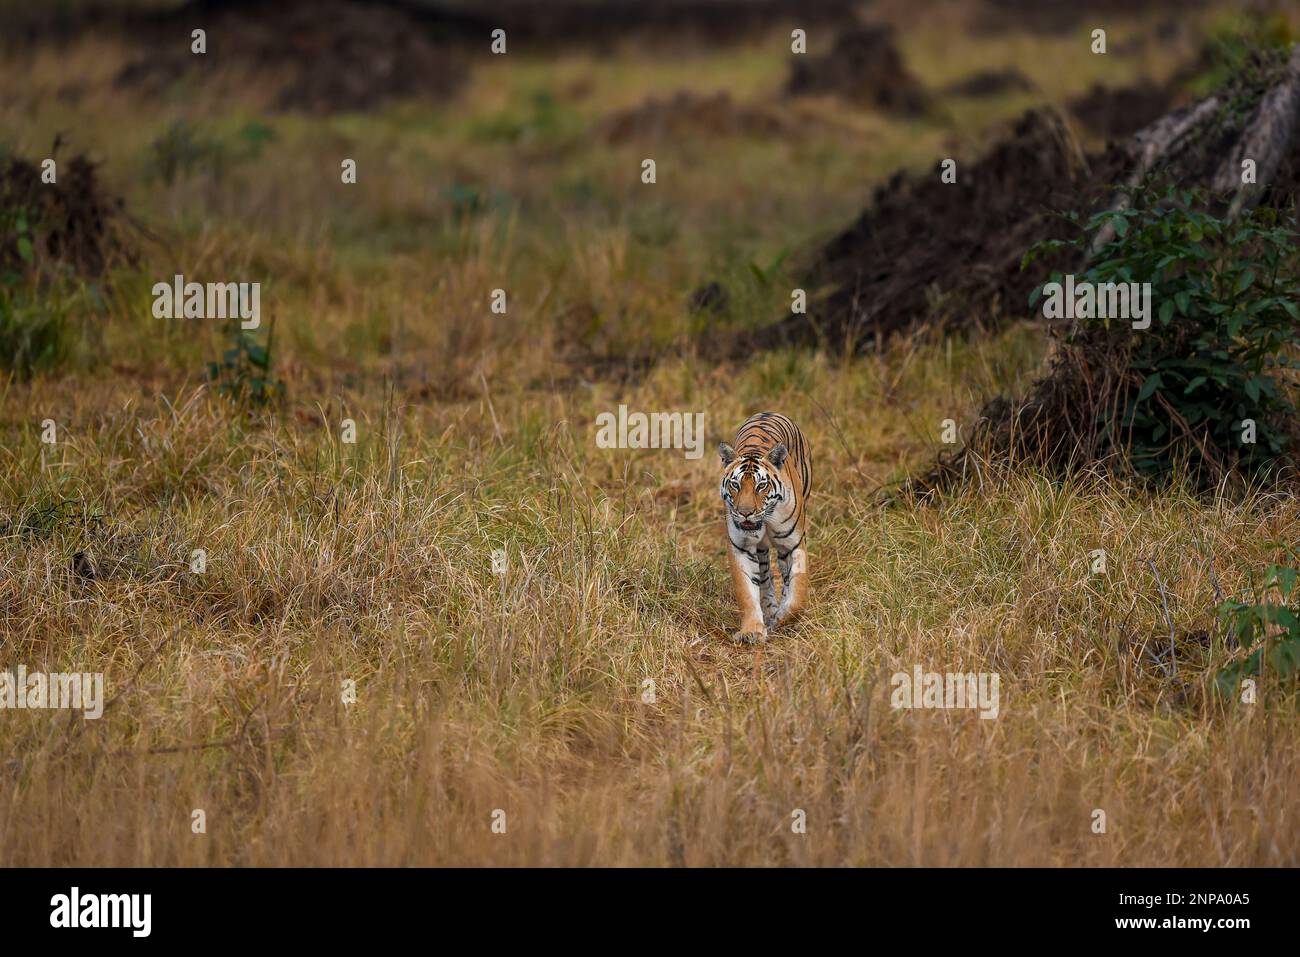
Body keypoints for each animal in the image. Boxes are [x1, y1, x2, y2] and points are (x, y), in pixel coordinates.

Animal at [718, 411, 811, 644]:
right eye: (735, 484)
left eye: (761, 486)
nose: (745, 512)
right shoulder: (741, 547)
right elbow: (747, 592)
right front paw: (752, 630)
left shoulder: (794, 544)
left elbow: (797, 591)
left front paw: (783, 618)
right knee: (765, 577)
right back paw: (769, 611)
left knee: (784, 577)